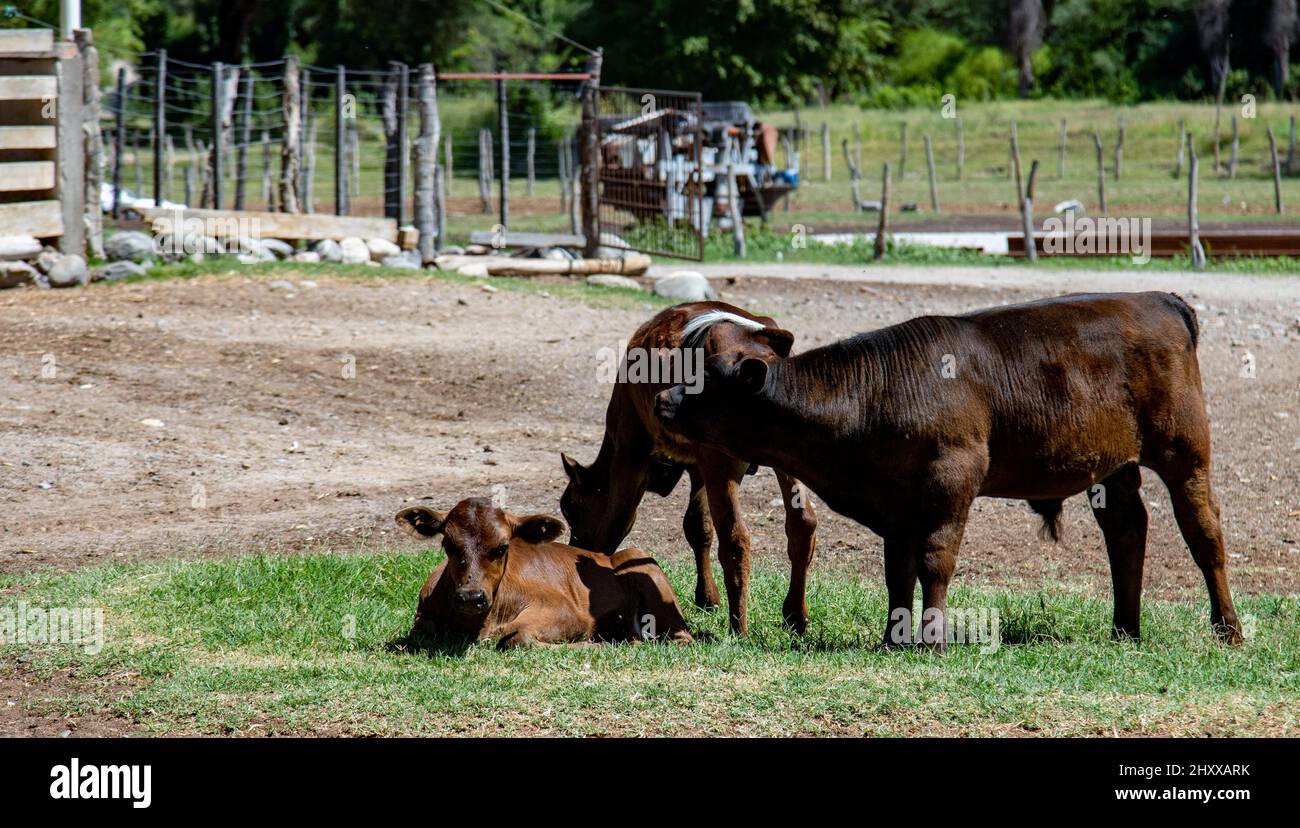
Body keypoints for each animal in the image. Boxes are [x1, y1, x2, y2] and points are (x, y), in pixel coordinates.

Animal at [396, 497, 693, 647]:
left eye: (502, 547)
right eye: (448, 544)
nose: (471, 597)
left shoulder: (566, 612)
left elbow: (520, 638)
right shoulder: (422, 617)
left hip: (642, 563)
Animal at [560, 302, 818, 636]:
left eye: (569, 507)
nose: (575, 545)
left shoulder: (630, 448)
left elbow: (616, 522)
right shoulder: (698, 466)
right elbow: (699, 526)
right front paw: (707, 597)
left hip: (719, 460)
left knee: (735, 537)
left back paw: (739, 627)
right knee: (802, 522)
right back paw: (796, 615)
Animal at [654, 291, 1243, 648]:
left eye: (709, 381)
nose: (662, 398)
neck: (875, 394)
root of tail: (1160, 299)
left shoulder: (953, 478)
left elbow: (935, 561)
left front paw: (931, 639)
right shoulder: (894, 503)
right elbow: (896, 570)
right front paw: (893, 638)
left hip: (1185, 451)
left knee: (1203, 531)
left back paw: (1228, 629)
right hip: (1114, 465)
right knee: (1126, 530)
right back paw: (1125, 628)